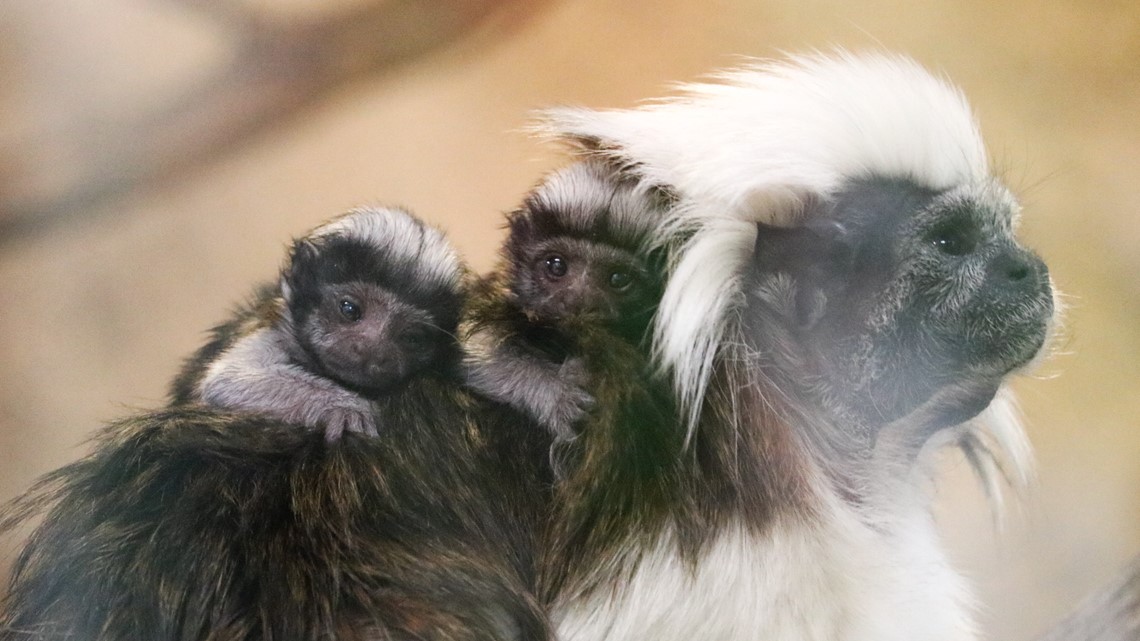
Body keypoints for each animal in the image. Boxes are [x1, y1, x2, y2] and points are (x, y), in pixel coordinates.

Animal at [169, 205, 465, 441]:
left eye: (411, 338)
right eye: (350, 310)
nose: (372, 350)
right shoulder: (275, 331)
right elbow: (226, 380)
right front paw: (345, 408)